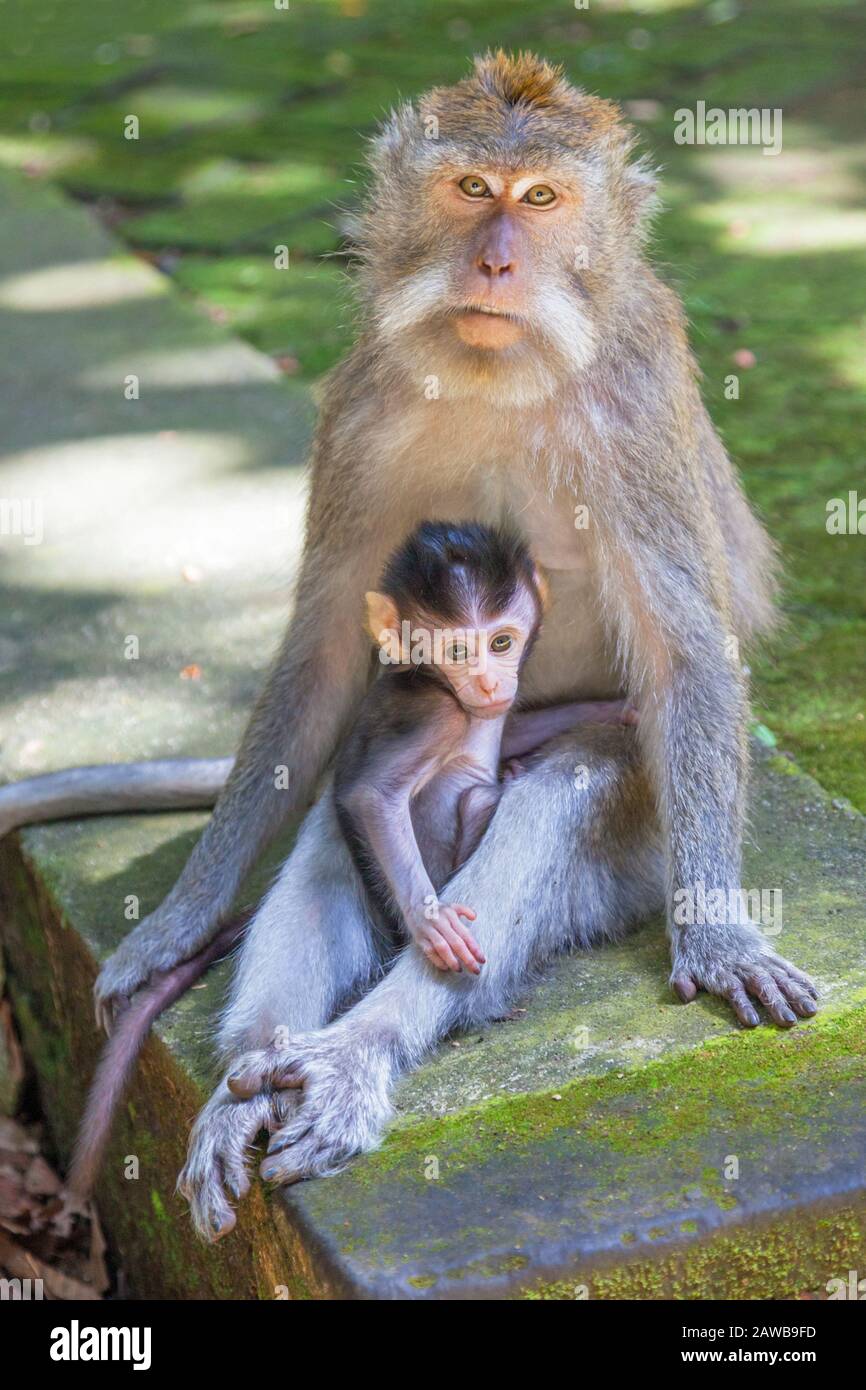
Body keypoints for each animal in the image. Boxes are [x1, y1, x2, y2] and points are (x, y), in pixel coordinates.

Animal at [0, 54, 818, 1240]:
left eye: (541, 199)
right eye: (472, 188)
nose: (495, 260)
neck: (495, 370)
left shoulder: (636, 409)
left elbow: (684, 656)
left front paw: (717, 940)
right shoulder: (358, 404)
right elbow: (321, 651)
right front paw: (180, 920)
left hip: (627, 840)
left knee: (555, 799)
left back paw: (354, 1056)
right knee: (333, 825)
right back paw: (256, 1076)